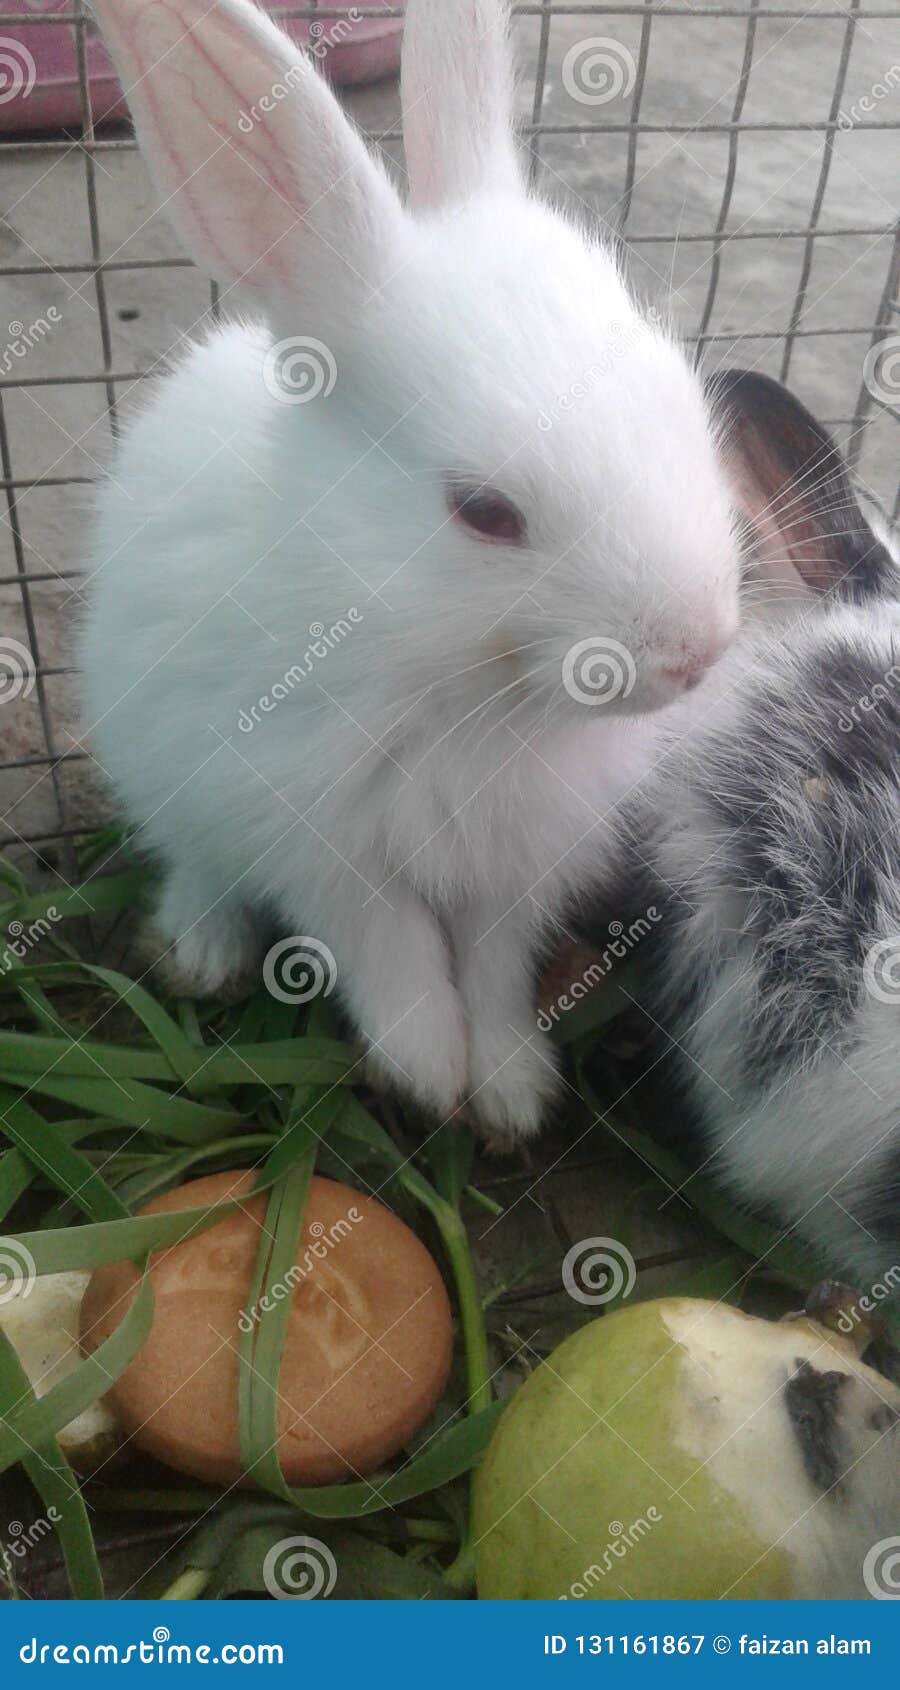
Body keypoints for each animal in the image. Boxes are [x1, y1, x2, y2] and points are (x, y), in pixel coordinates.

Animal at [80, 0, 744, 1145]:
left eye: (684, 403)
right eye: (484, 512)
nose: (695, 649)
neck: (464, 687)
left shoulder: (516, 871)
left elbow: (493, 968)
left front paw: (511, 1094)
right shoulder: (316, 838)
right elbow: (388, 953)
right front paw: (429, 1074)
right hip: (161, 769)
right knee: (195, 861)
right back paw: (201, 952)